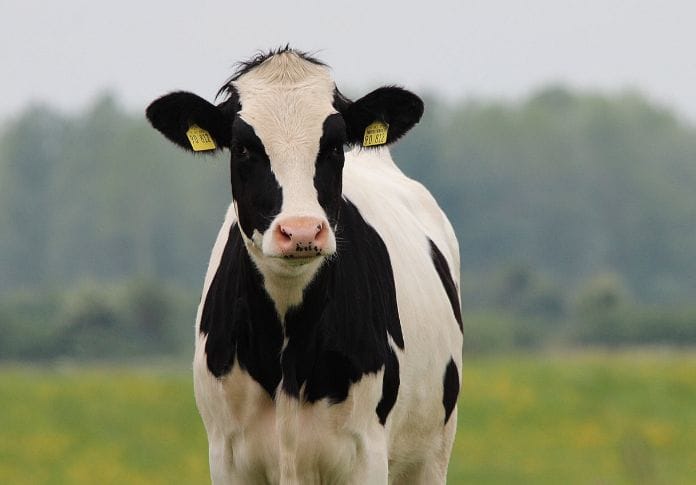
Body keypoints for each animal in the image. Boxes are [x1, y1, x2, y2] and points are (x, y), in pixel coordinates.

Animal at [146, 47, 462, 484]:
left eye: (334, 146)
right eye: (243, 148)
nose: (300, 231)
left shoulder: (366, 455)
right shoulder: (227, 456)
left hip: (431, 455)